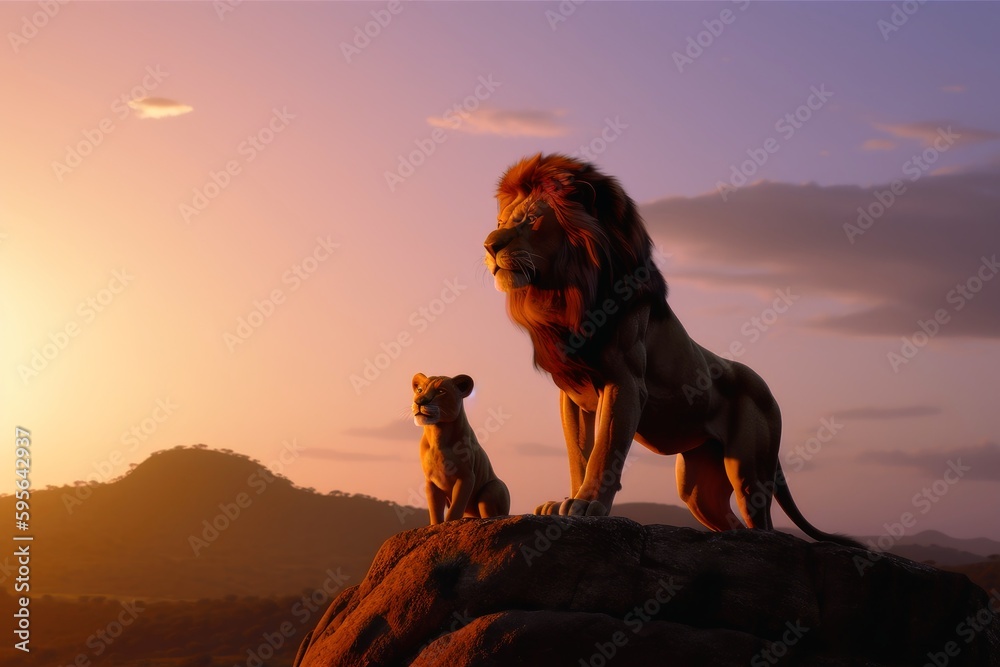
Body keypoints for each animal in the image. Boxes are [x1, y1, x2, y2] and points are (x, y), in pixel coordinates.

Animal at [412, 373, 511, 524]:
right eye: (419, 390)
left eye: (441, 391)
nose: (419, 401)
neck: (437, 434)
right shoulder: (431, 482)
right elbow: (435, 511)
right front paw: (435, 525)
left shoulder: (466, 477)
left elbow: (455, 507)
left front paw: (449, 524)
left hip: (492, 489)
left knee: (490, 513)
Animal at [483, 153, 861, 548]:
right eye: (501, 223)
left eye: (532, 220)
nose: (489, 245)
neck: (566, 294)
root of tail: (766, 388)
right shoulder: (572, 395)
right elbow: (578, 453)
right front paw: (567, 501)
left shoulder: (626, 382)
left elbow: (605, 451)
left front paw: (587, 505)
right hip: (697, 488)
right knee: (730, 522)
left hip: (750, 472)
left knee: (764, 524)